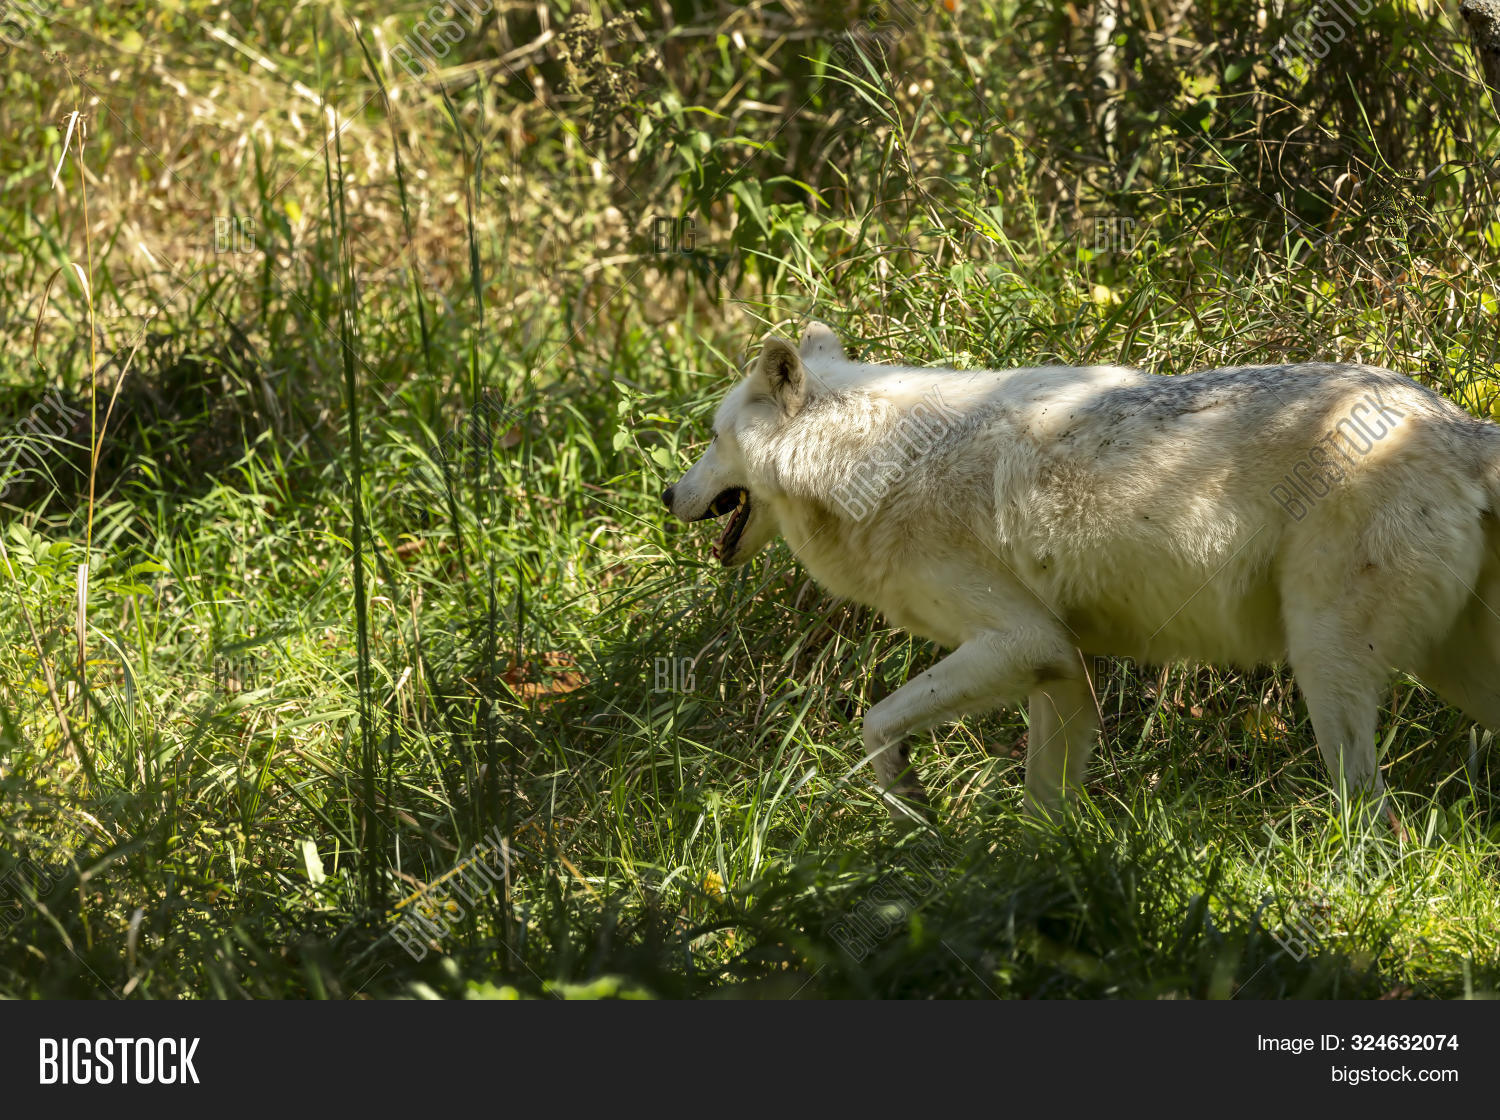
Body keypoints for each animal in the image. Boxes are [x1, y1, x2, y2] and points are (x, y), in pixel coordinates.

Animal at [663, 322, 1500, 824]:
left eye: (712, 438)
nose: (667, 494)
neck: (873, 463)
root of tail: (1456, 424)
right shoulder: (1063, 667)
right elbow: (1044, 806)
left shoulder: (1020, 641)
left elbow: (875, 722)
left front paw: (910, 804)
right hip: (1453, 671)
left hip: (1326, 666)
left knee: (1372, 809)